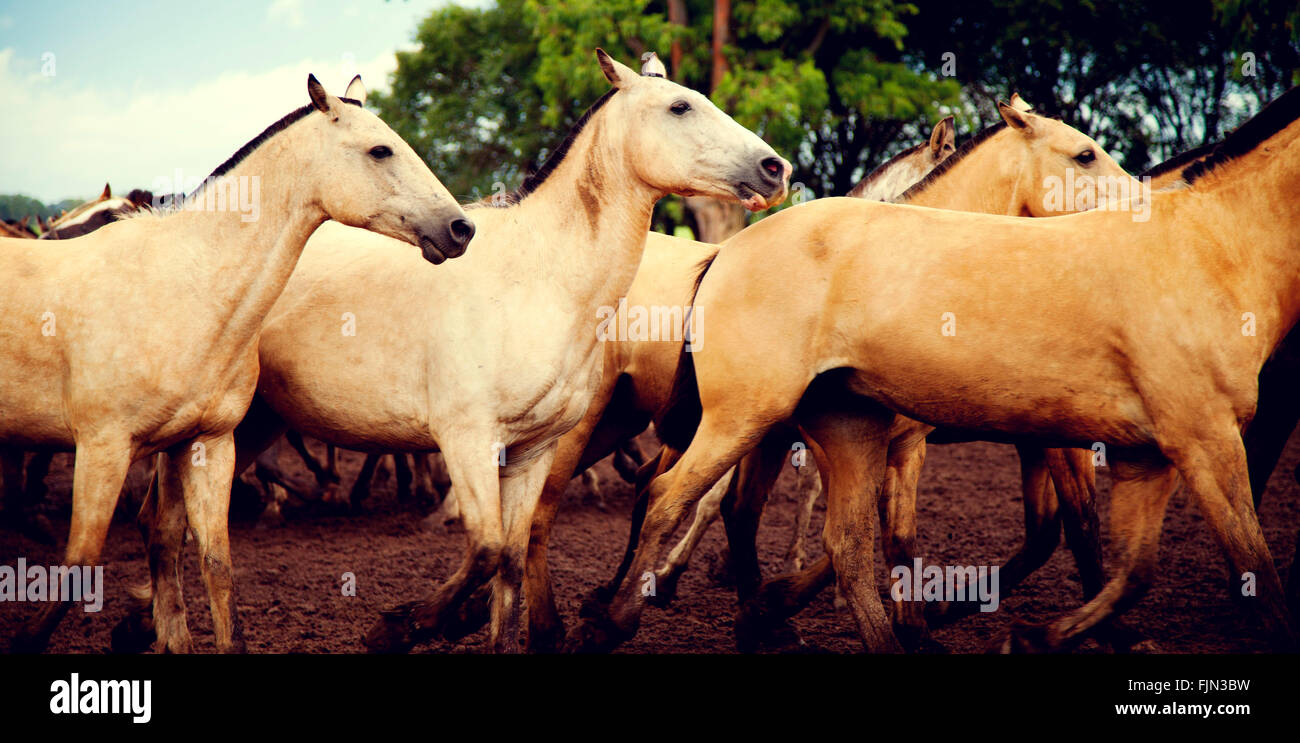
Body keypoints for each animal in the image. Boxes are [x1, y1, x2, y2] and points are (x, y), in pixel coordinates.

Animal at [6, 74, 473, 654]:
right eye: (380, 150)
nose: (461, 228)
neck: (184, 285)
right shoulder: (102, 447)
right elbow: (79, 564)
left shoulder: (206, 443)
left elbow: (215, 564)